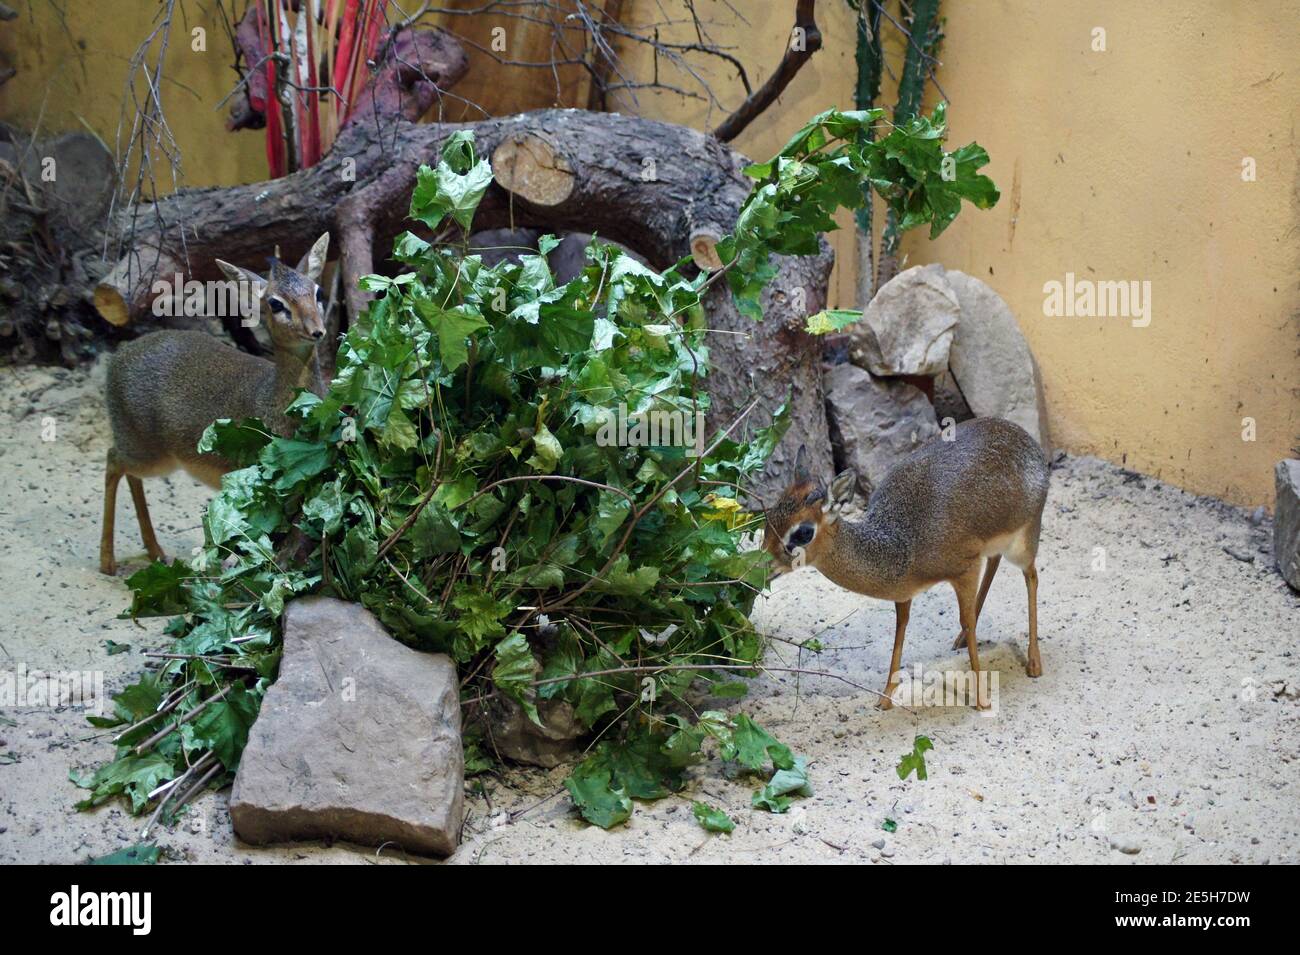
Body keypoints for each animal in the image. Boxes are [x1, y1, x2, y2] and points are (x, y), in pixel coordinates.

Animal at [99, 234, 331, 575]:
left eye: (317, 292)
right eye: (275, 303)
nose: (316, 330)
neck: (274, 399)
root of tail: (116, 360)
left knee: (128, 473)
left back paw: (156, 552)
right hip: (148, 453)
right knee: (113, 461)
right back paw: (108, 561)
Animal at [763, 417, 1050, 709]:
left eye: (803, 532)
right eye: (769, 518)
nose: (764, 567)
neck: (902, 546)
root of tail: (1023, 436)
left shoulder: (965, 571)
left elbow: (967, 619)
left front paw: (981, 699)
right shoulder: (903, 592)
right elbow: (901, 628)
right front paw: (885, 698)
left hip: (1023, 543)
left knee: (1032, 576)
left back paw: (1034, 663)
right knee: (995, 562)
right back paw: (959, 640)